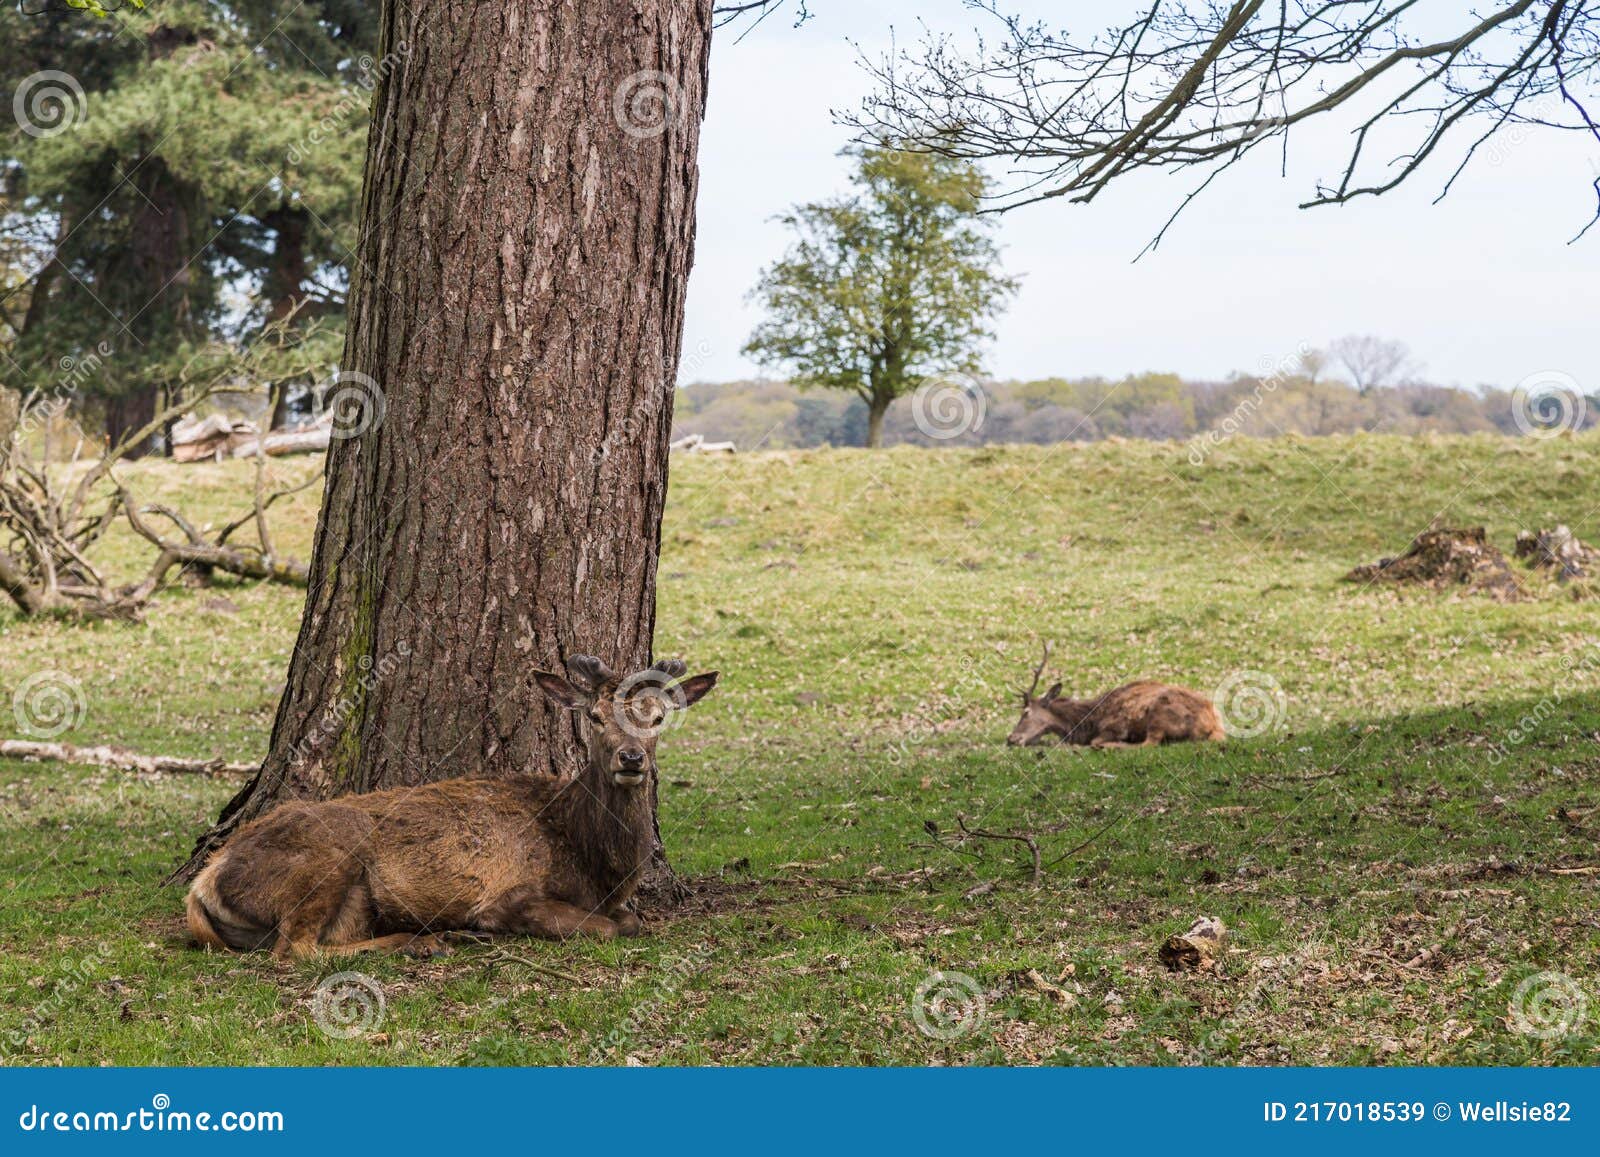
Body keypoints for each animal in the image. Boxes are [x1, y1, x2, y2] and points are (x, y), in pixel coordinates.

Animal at [185, 655, 717, 958]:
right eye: (595, 715)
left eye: (658, 717)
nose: (631, 758)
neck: (593, 863)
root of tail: (205, 881)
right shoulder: (507, 893)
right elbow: (608, 928)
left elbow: (630, 920)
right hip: (331, 853)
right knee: (293, 950)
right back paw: (422, 942)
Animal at [1006, 644, 1224, 748]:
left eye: (1026, 712)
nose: (1011, 739)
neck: (1087, 722)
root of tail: (1214, 725)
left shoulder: (1115, 727)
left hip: (1159, 712)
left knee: (1149, 744)